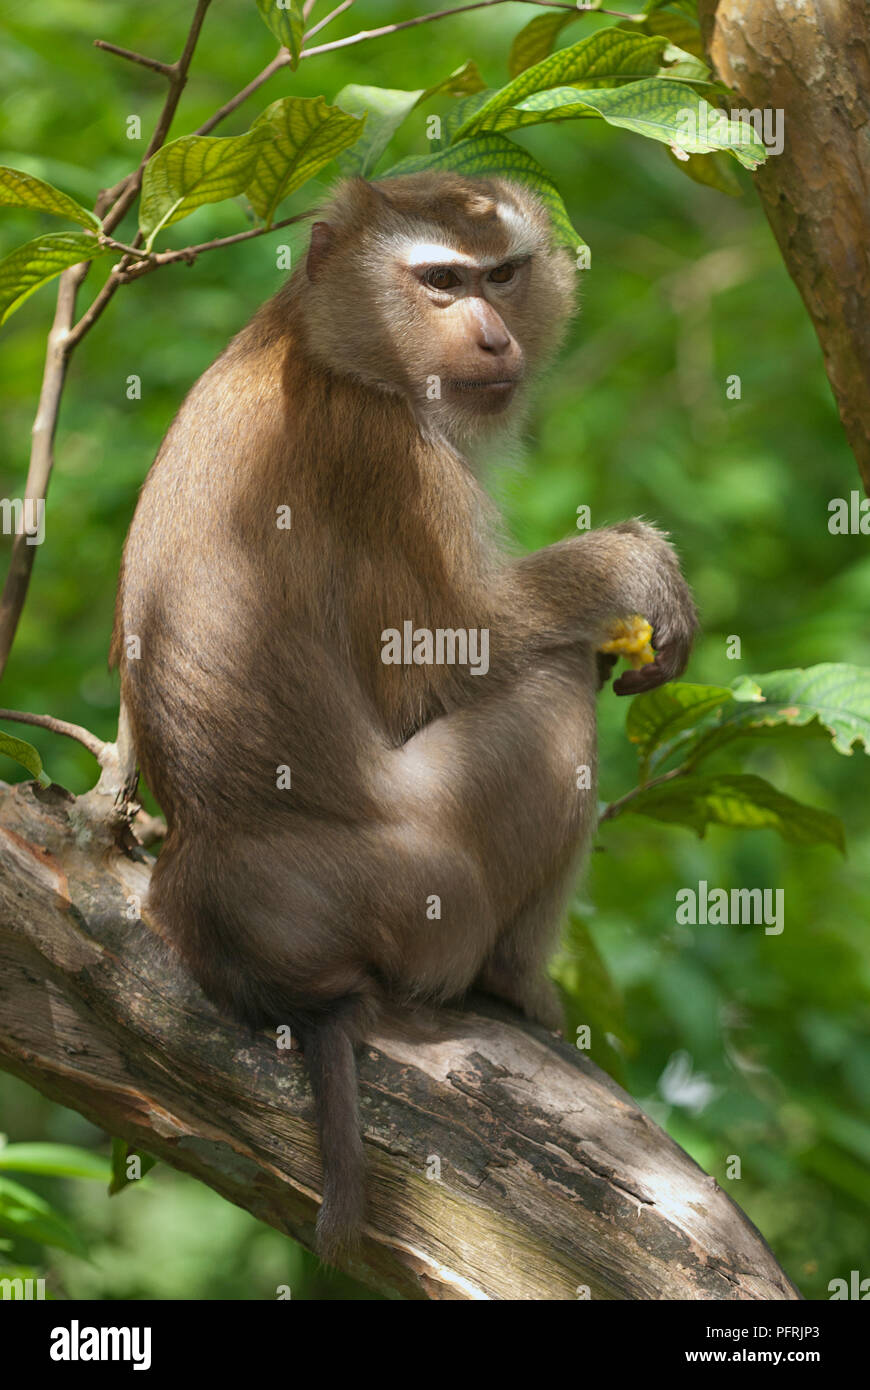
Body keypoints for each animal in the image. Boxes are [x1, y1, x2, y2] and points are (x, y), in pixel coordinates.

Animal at [112, 172, 697, 1260]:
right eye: (439, 281)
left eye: (501, 275)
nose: (494, 338)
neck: (318, 339)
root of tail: (216, 875)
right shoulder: (388, 456)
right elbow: (459, 644)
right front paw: (636, 571)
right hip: (429, 885)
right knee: (555, 687)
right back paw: (515, 983)